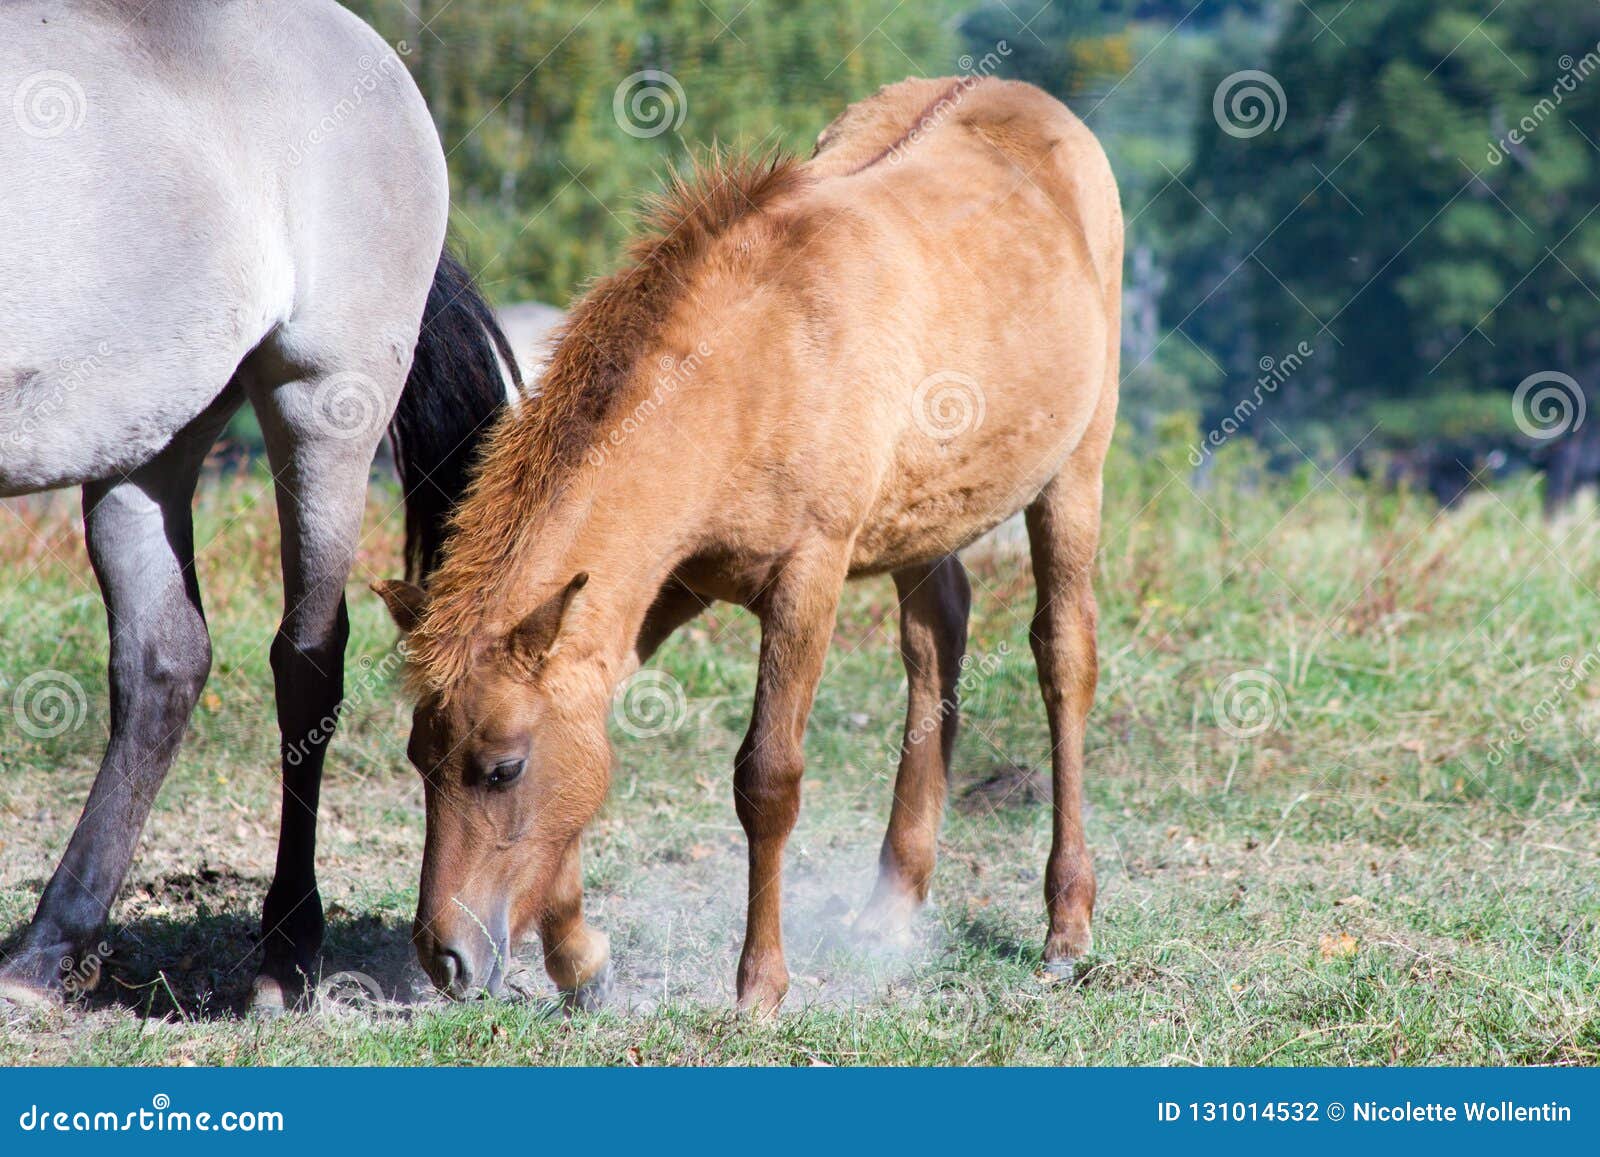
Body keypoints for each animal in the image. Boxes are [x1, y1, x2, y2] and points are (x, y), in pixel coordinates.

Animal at [0, 0, 515, 1012]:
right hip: (149, 436)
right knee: (163, 663)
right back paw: (47, 948)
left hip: (319, 404)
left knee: (306, 663)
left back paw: (286, 952)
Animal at [373, 76, 1123, 1014]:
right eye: (417, 758)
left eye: (502, 769)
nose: (444, 957)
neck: (759, 364)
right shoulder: (662, 588)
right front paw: (580, 957)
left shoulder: (808, 575)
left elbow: (768, 779)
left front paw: (760, 985)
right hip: (930, 513)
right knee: (937, 640)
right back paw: (892, 907)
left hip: (1075, 476)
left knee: (1064, 658)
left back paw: (1068, 922)